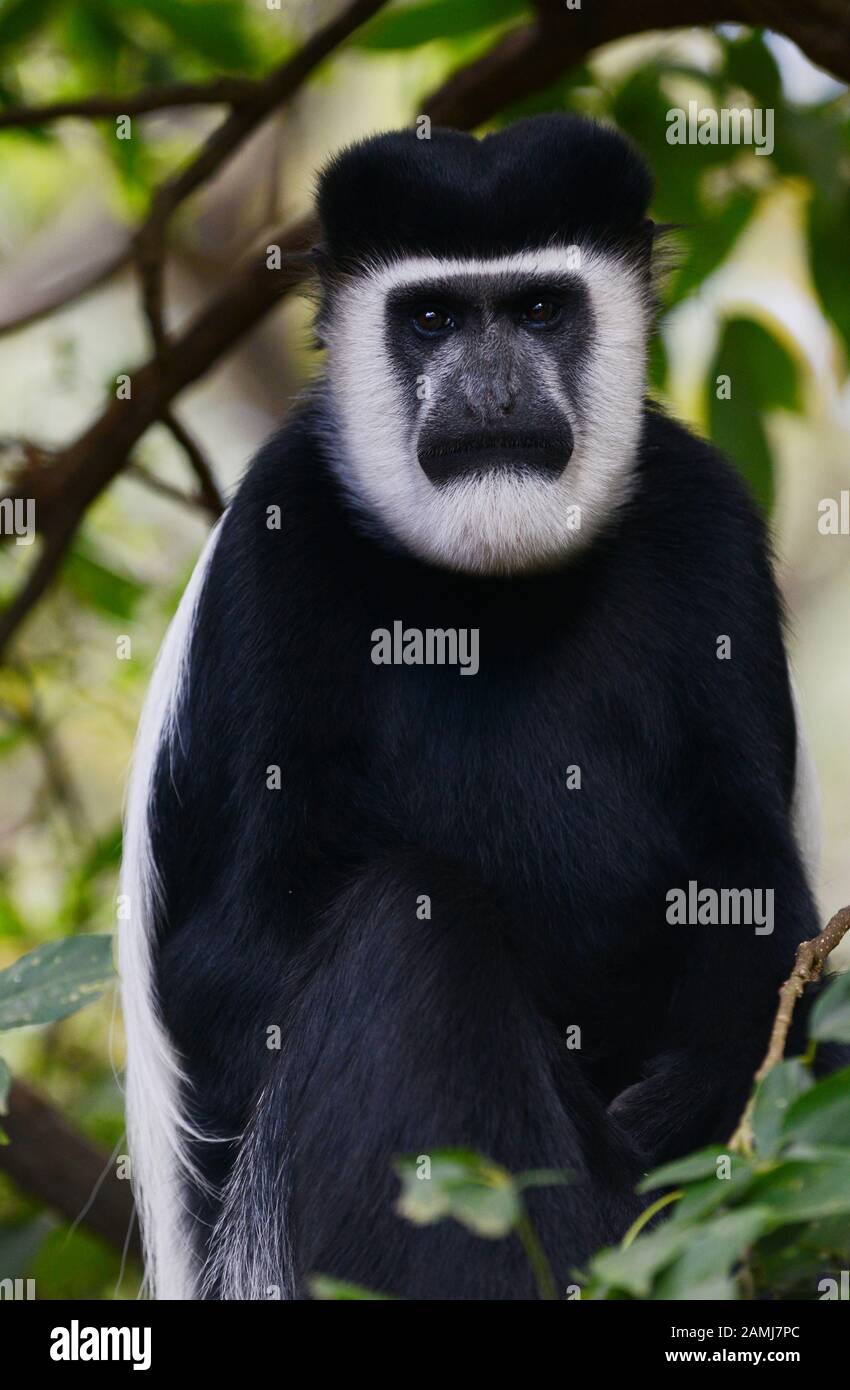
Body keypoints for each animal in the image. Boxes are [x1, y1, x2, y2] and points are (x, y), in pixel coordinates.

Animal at [120, 114, 830, 1301]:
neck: (491, 591)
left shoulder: (707, 526)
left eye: (539, 309)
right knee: (412, 938)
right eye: (434, 317)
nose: (492, 389)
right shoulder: (276, 544)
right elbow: (232, 961)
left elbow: (752, 888)